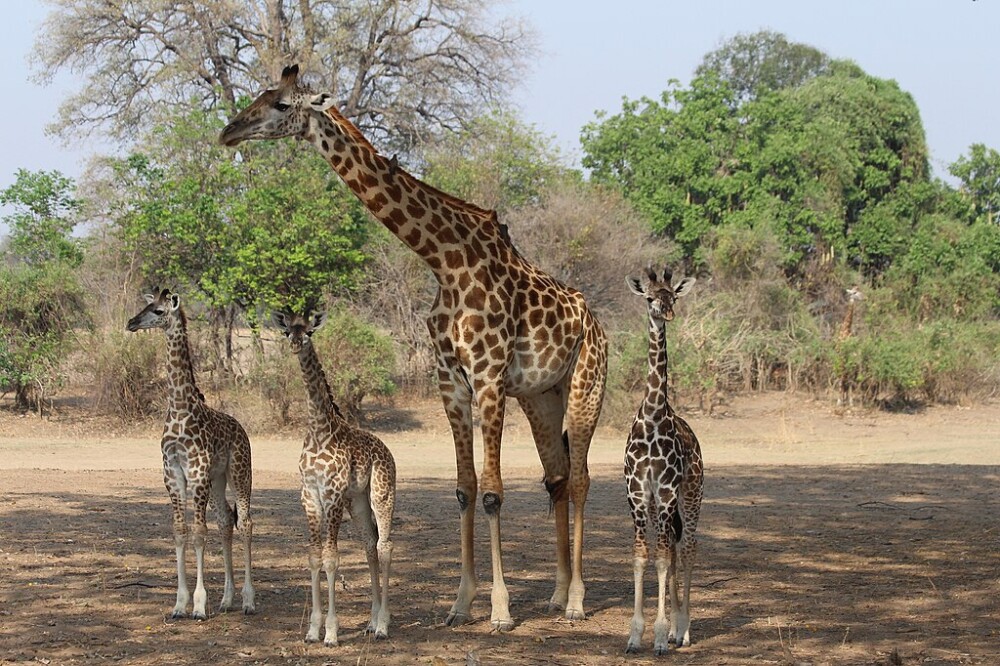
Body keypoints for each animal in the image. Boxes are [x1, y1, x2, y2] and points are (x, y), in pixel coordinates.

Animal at [126, 289, 255, 619]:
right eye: (146, 305)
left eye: (158, 311)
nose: (131, 322)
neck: (180, 408)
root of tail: (242, 428)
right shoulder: (172, 474)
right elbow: (179, 530)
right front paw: (179, 604)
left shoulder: (196, 473)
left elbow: (198, 531)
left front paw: (198, 605)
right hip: (218, 479)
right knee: (225, 521)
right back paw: (226, 600)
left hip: (240, 472)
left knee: (246, 522)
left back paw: (248, 601)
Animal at [273, 310, 396, 646]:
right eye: (287, 331)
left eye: (309, 332)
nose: (296, 344)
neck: (318, 430)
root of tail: (388, 451)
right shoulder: (309, 495)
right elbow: (314, 556)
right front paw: (312, 630)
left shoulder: (333, 494)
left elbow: (331, 558)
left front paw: (331, 632)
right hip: (358, 501)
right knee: (369, 544)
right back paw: (370, 622)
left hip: (381, 493)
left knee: (385, 546)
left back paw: (383, 625)